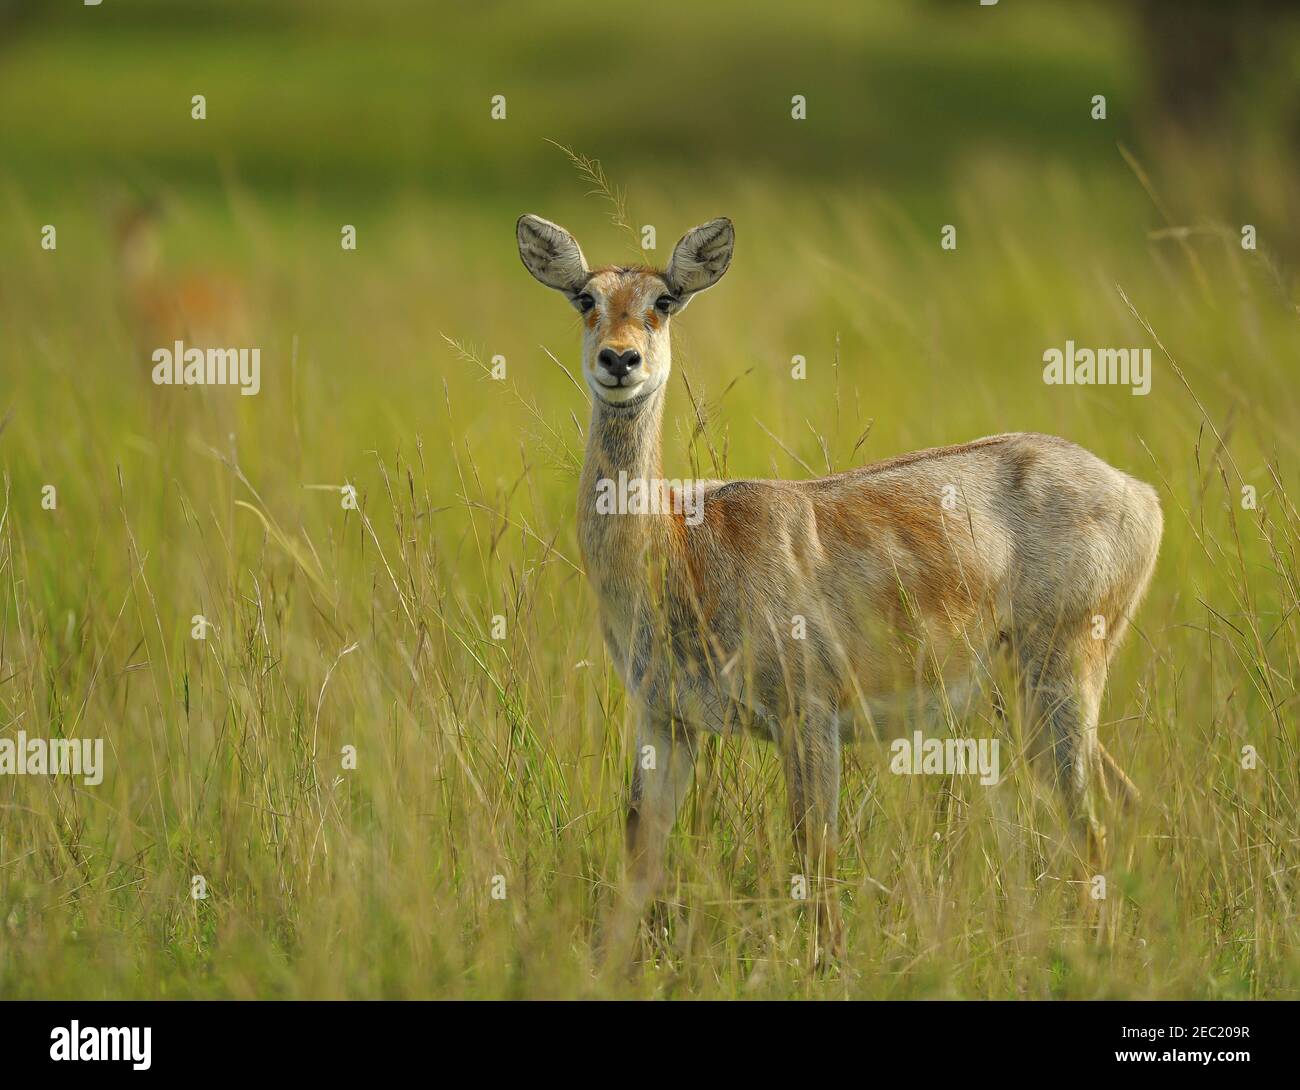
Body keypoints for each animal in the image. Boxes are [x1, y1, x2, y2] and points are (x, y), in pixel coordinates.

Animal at [516, 213, 1162, 966]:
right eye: (585, 297)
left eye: (665, 300)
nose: (620, 361)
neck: (682, 547)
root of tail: (1143, 495)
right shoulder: (665, 719)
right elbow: (640, 857)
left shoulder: (808, 715)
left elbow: (814, 855)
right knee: (1122, 801)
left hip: (1062, 677)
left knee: (1091, 819)